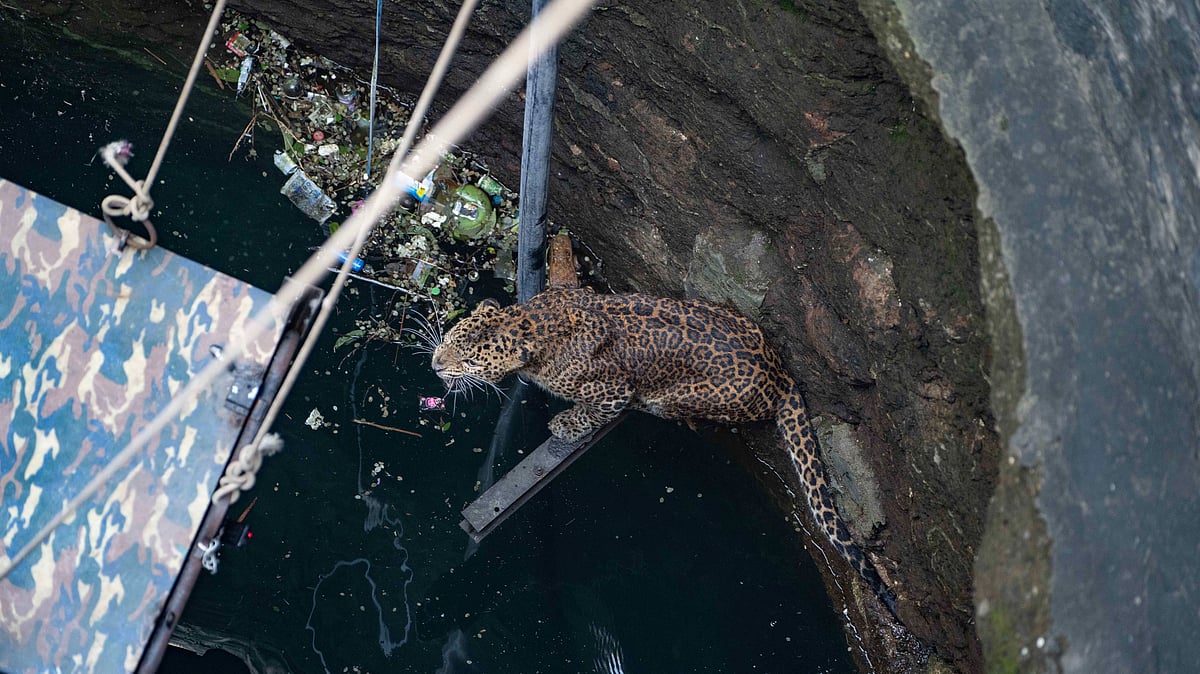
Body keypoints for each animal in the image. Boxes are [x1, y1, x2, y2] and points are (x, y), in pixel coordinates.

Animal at [430, 288, 898, 618]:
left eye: (470, 361)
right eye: (451, 336)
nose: (436, 363)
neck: (529, 320)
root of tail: (779, 374)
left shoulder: (612, 390)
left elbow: (592, 413)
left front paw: (564, 424)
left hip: (680, 398)